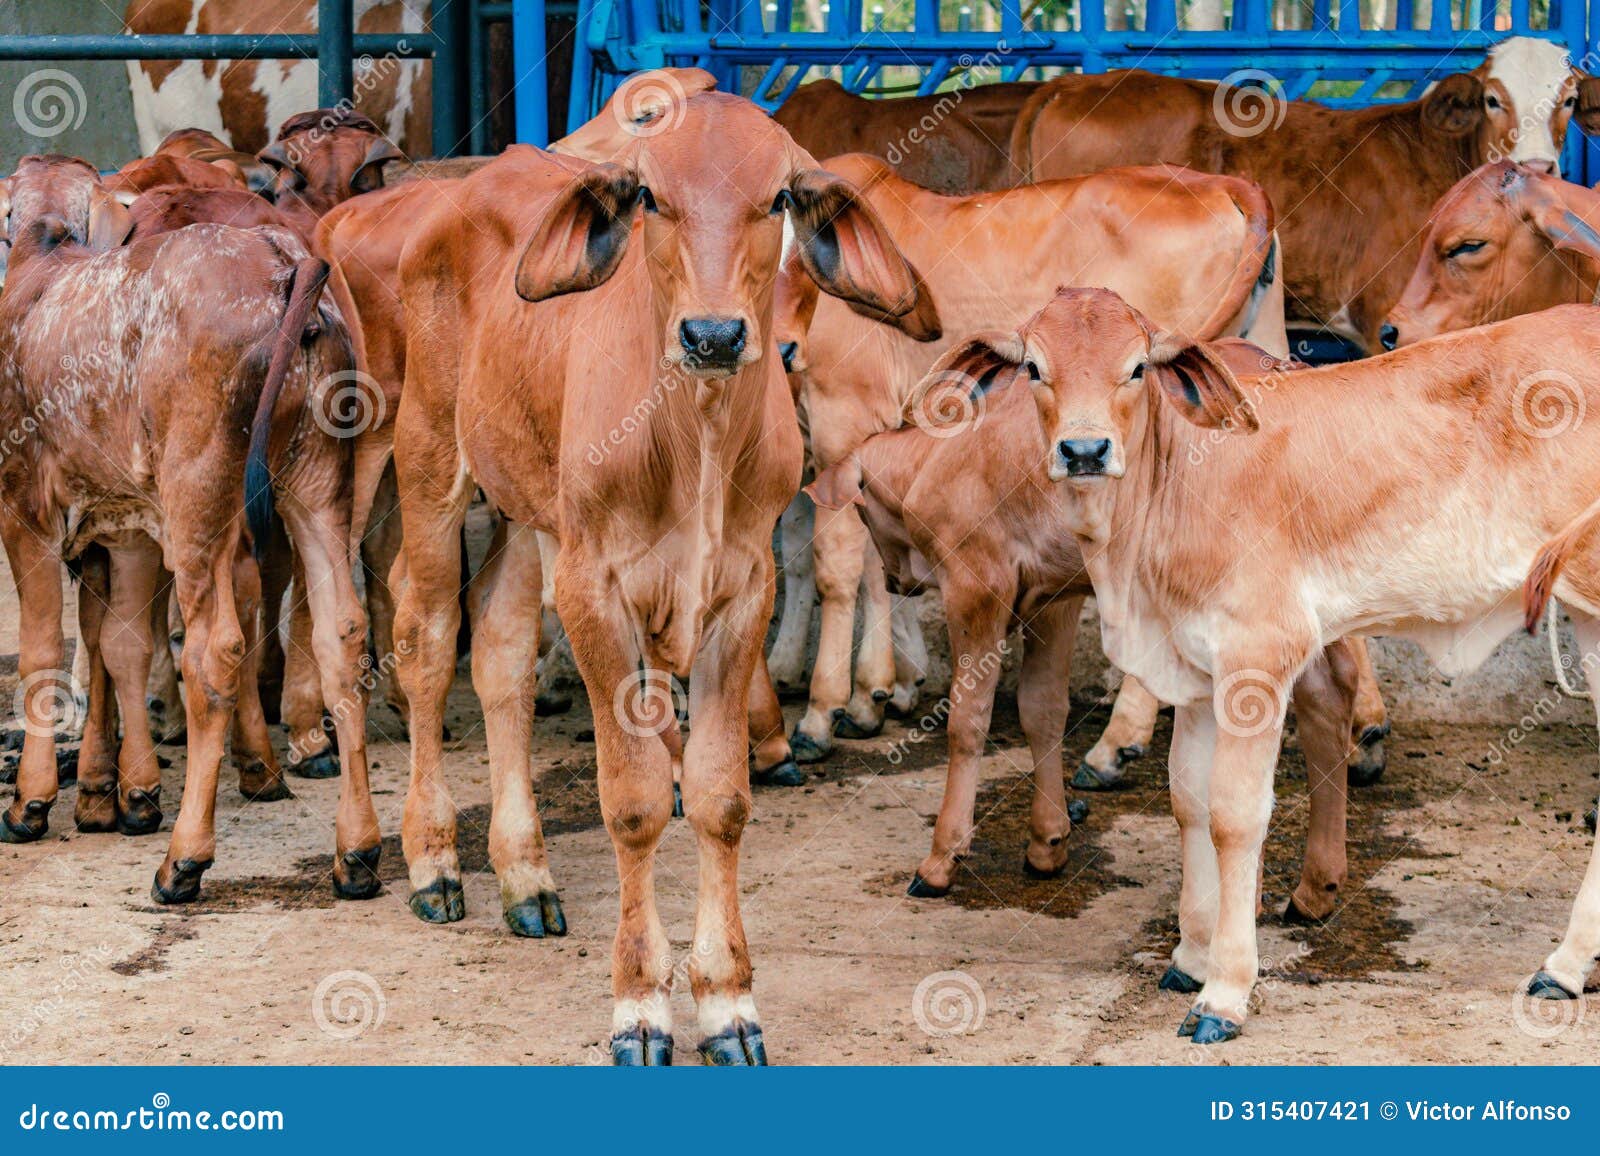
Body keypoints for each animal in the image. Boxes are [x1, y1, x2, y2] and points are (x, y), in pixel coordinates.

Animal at [0, 155, 376, 907]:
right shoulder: (126, 529)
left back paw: (185, 859)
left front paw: (33, 801)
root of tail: (281, 261)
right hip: (318, 485)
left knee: (218, 651)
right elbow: (118, 643)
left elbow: (43, 652)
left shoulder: (23, 507)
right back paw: (357, 852)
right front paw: (118, 795)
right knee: (340, 638)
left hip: (199, 495)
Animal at [387, 87, 919, 1063]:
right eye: (650, 199)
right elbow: (634, 800)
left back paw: (525, 876)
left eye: (776, 199)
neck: (694, 435)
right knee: (428, 639)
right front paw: (639, 1006)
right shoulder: (596, 589)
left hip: (527, 512)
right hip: (431, 460)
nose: (713, 334)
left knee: (503, 653)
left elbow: (718, 797)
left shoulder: (741, 594)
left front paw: (727, 1003)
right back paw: (434, 861)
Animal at [805, 337, 1361, 920]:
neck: (941, 459)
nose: (896, 580)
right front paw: (1048, 841)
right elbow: (1042, 709)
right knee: (1329, 693)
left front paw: (941, 858)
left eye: (863, 512)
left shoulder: (976, 587)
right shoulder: (1052, 597)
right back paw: (1316, 885)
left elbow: (968, 721)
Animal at [946, 284, 1600, 1042]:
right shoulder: (1195, 674)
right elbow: (1187, 801)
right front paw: (1189, 957)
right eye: (1033, 368)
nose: (1084, 450)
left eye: (1137, 368)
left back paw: (1564, 965)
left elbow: (1235, 815)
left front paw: (1225, 990)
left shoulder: (1256, 659)